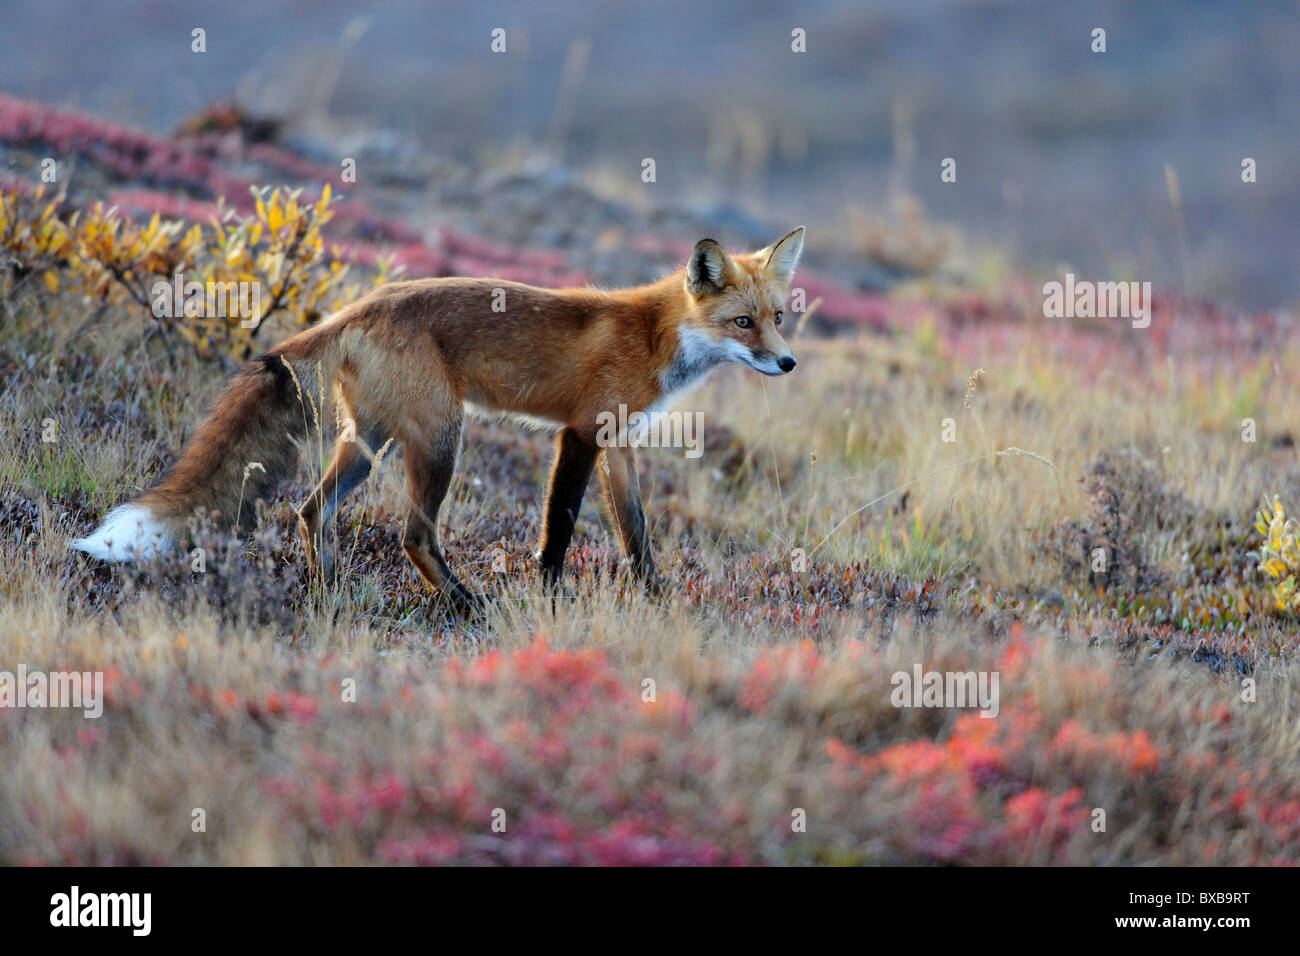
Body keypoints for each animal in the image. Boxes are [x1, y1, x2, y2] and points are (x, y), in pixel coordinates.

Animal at [71, 226, 805, 612]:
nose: (789, 362)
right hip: (442, 440)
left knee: (310, 510)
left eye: (778, 317)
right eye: (744, 323)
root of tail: (352, 309)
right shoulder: (579, 433)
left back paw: (330, 594)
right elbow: (559, 530)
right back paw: (464, 604)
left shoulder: (618, 443)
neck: (653, 336)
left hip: (370, 442)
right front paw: (546, 599)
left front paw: (657, 597)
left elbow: (638, 533)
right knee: (414, 536)